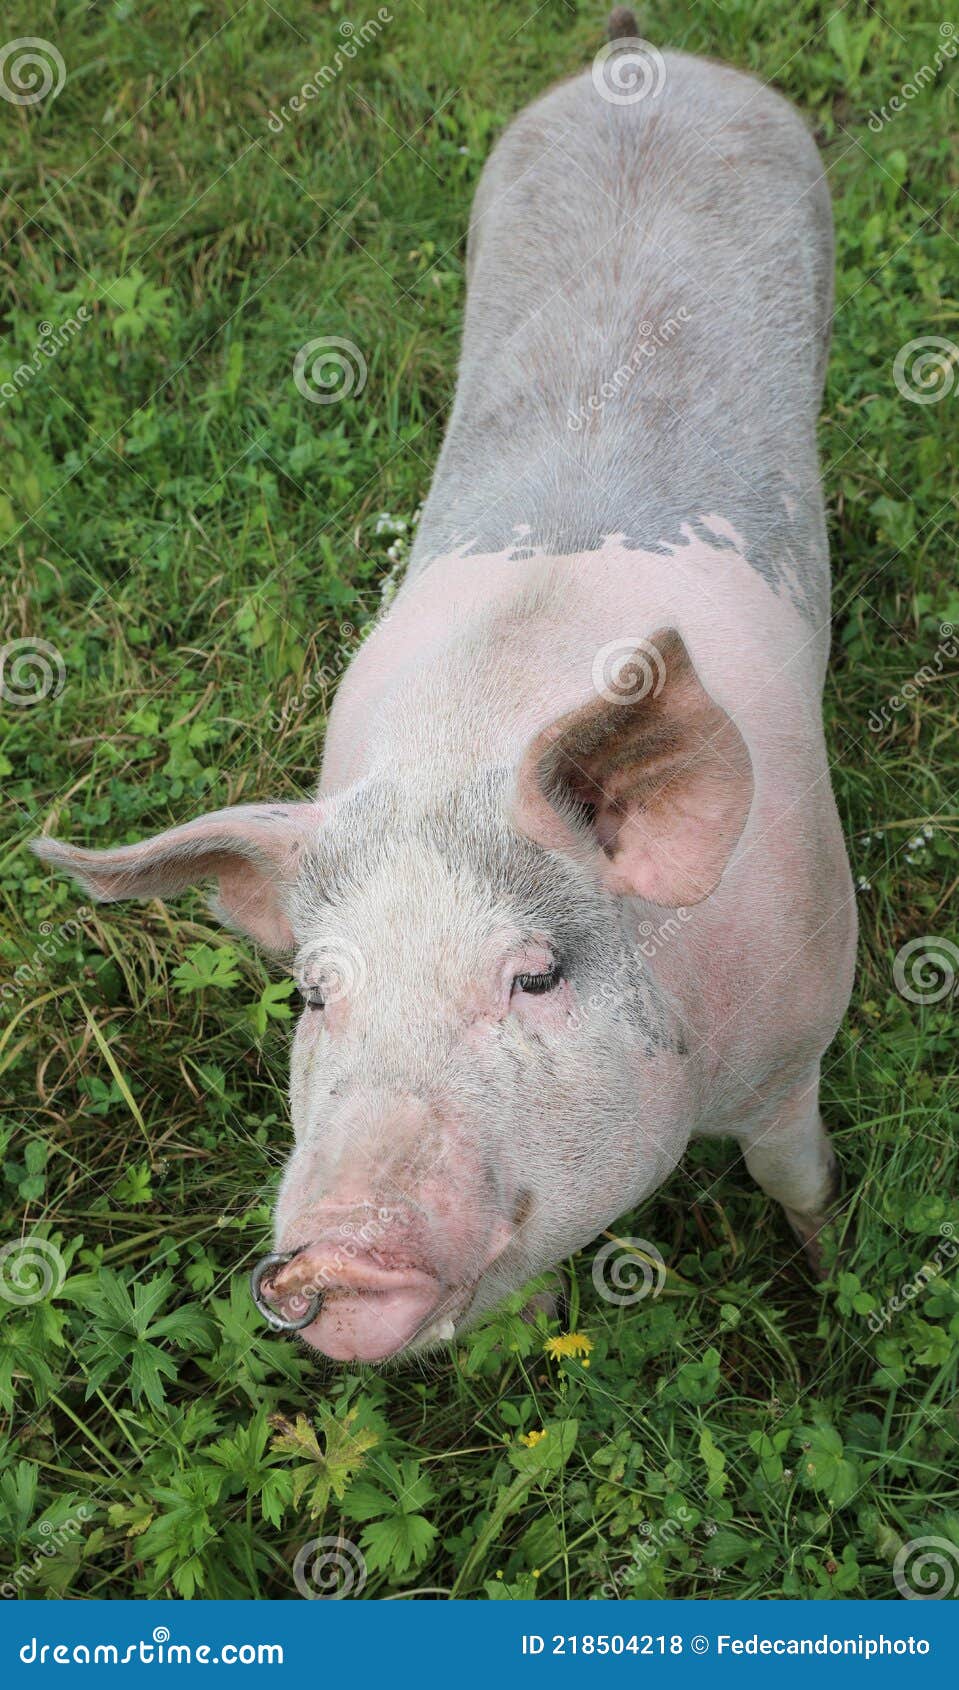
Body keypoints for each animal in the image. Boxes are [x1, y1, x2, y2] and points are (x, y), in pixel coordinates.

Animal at [33, 12, 856, 1363]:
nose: (329, 1256)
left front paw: (828, 1270)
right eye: (314, 994)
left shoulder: (798, 1041)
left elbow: (795, 1175)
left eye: (535, 973)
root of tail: (638, 60)